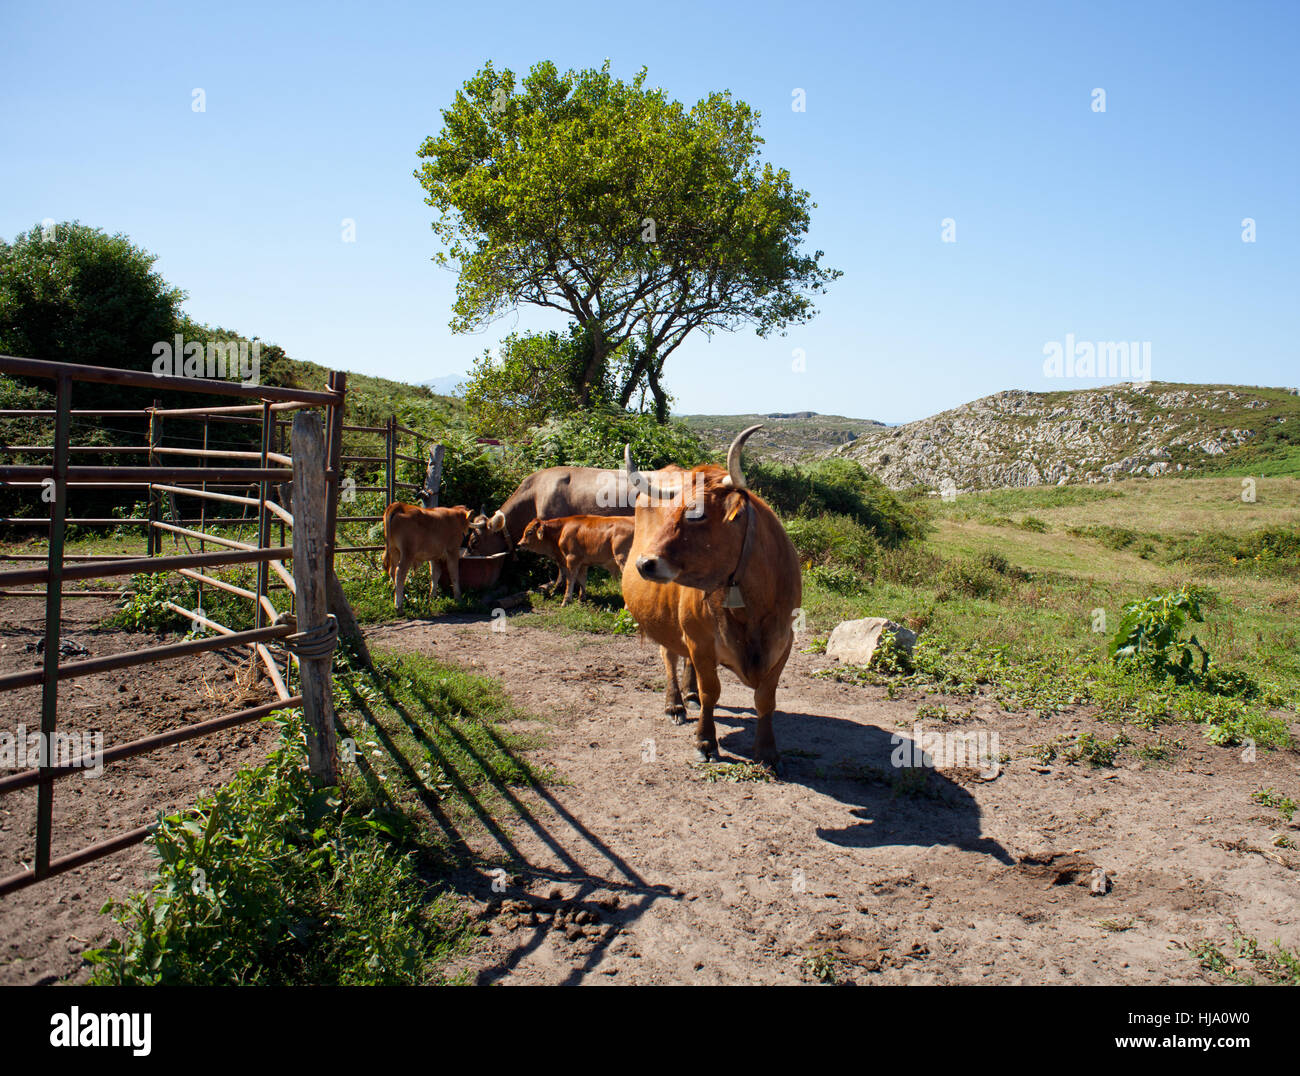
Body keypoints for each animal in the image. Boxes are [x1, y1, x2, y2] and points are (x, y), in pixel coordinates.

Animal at [621, 426, 801, 769]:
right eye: (669, 511)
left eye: (695, 514)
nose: (644, 563)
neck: (750, 609)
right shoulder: (700, 639)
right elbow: (711, 692)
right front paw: (706, 741)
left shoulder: (784, 640)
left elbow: (765, 698)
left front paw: (767, 751)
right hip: (668, 622)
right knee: (669, 657)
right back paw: (676, 704)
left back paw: (688, 694)